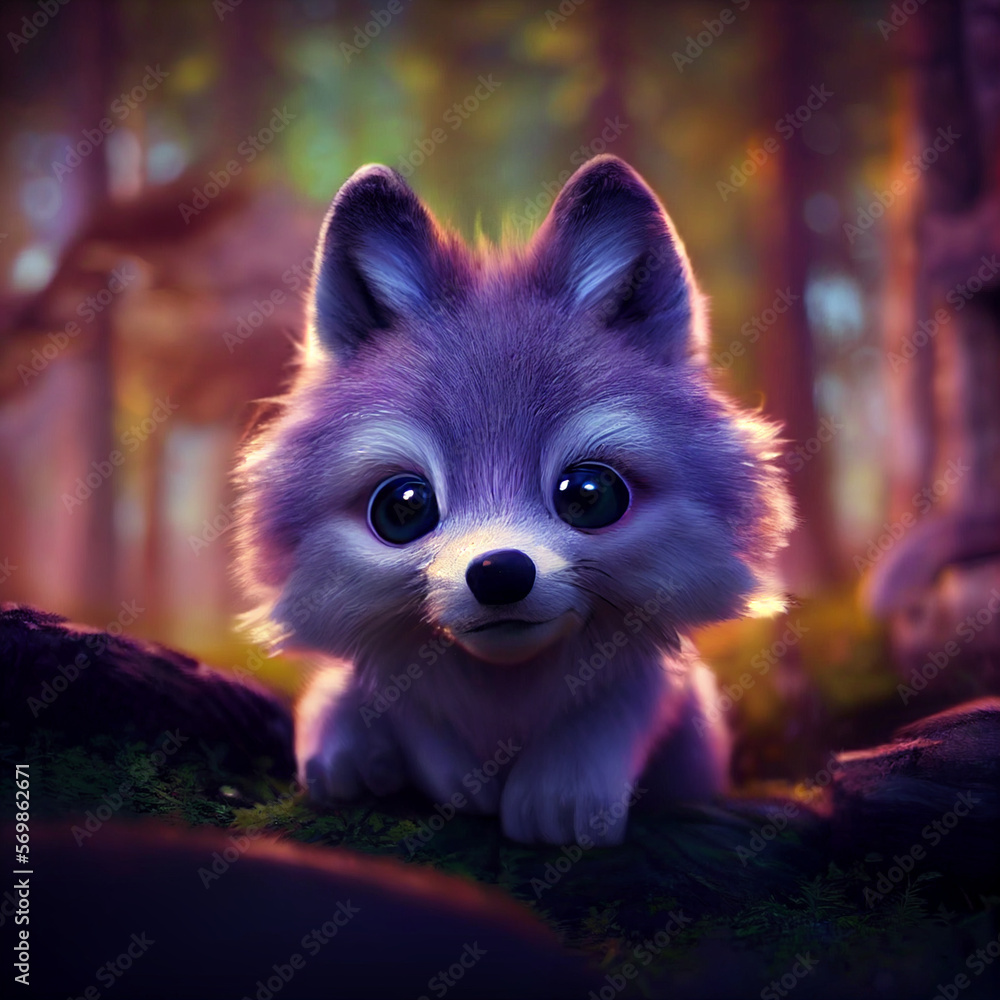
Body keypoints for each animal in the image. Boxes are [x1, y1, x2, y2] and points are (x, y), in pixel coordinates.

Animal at [234, 155, 793, 846]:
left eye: (590, 495)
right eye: (403, 507)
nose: (499, 570)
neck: (505, 699)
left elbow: (626, 701)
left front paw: (562, 788)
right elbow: (395, 699)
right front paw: (426, 765)